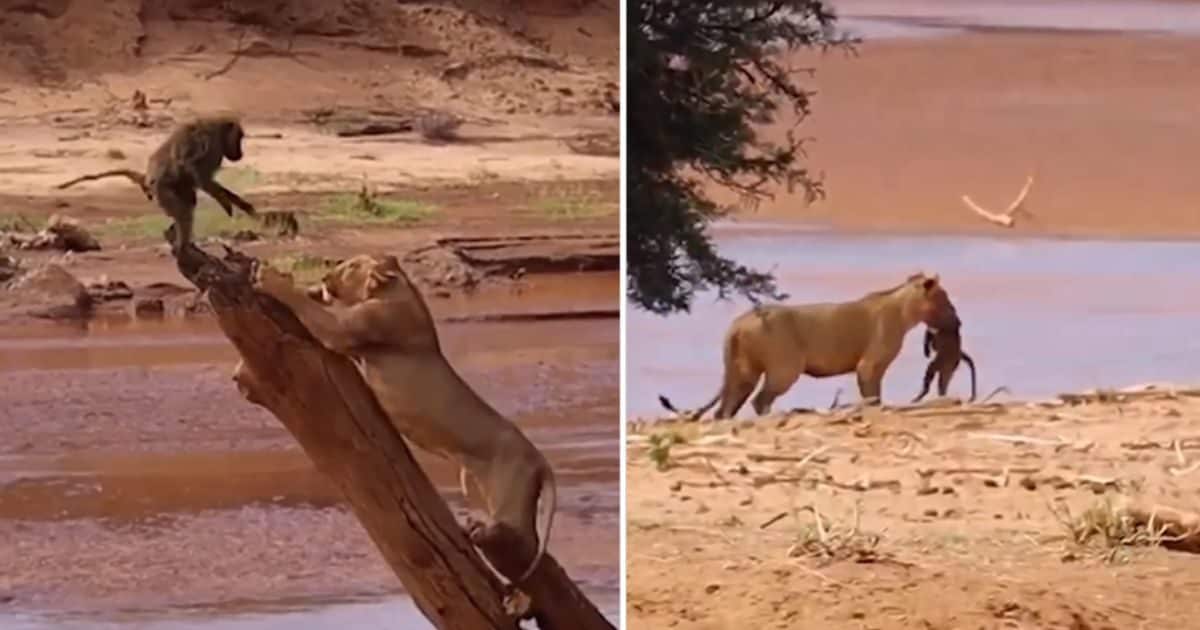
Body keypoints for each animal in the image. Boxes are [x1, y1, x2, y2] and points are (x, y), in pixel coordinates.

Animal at [251, 254, 556, 585]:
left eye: (350, 266)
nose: (325, 277)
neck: (397, 289)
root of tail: (540, 459)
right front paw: (306, 287)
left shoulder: (347, 329)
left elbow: (311, 309)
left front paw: (271, 278)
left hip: (510, 496)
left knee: (526, 541)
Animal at [659, 272, 960, 420]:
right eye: (944, 298)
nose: (958, 320)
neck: (904, 310)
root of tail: (737, 324)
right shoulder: (869, 365)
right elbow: (873, 396)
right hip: (785, 368)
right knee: (760, 400)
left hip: (742, 371)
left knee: (725, 408)